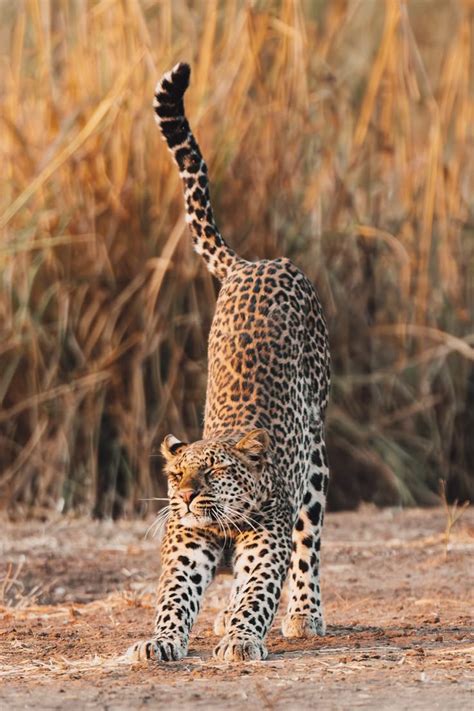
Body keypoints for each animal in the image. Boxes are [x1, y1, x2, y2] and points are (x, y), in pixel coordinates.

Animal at [128, 62, 330, 663]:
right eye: (176, 475)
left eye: (215, 472)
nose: (188, 495)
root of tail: (253, 263)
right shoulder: (187, 540)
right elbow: (175, 595)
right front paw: (162, 640)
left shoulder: (266, 536)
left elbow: (259, 588)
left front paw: (242, 637)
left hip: (315, 459)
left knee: (308, 544)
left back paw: (303, 615)